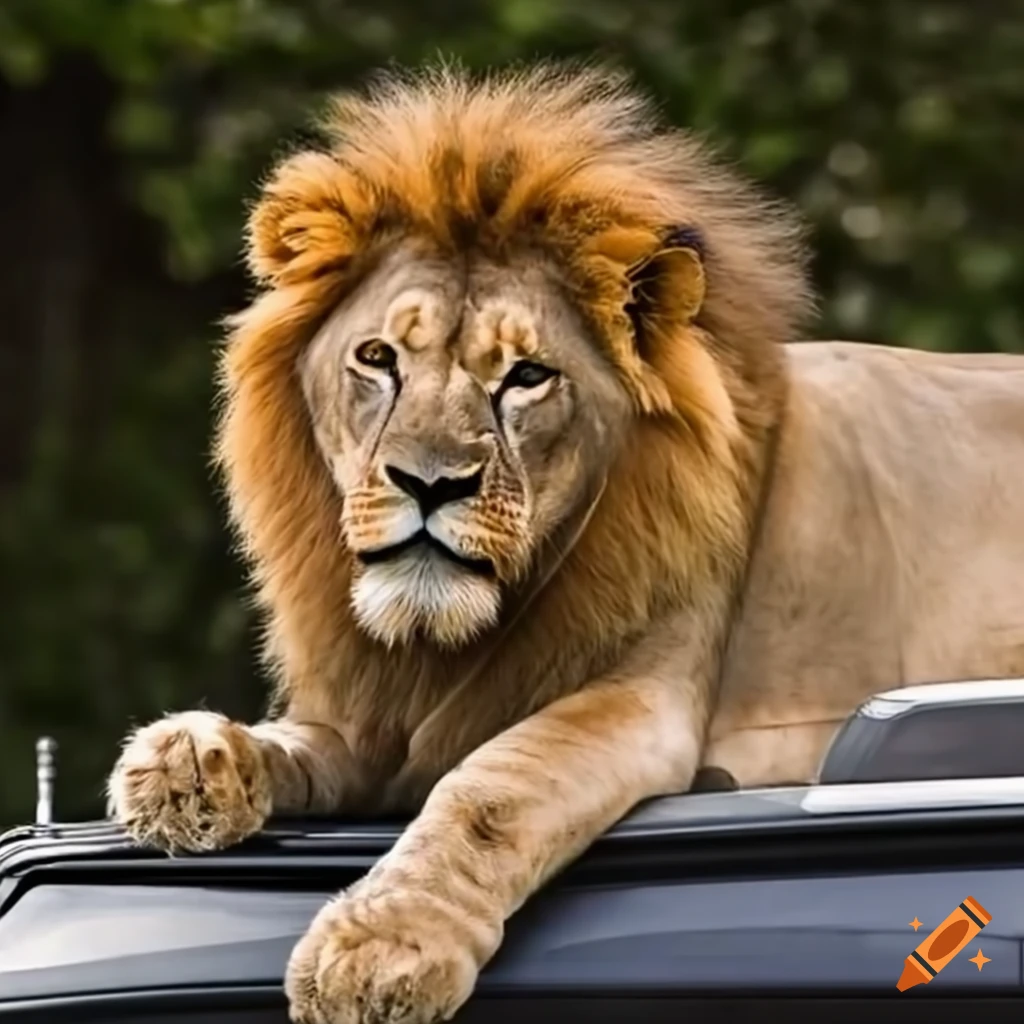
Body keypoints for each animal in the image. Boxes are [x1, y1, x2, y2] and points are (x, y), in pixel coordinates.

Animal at [106, 61, 1024, 1024]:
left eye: (526, 377)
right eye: (379, 358)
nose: (430, 484)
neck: (441, 642)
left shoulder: (644, 697)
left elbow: (493, 784)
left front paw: (383, 950)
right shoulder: (370, 718)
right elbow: (299, 740)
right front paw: (189, 761)